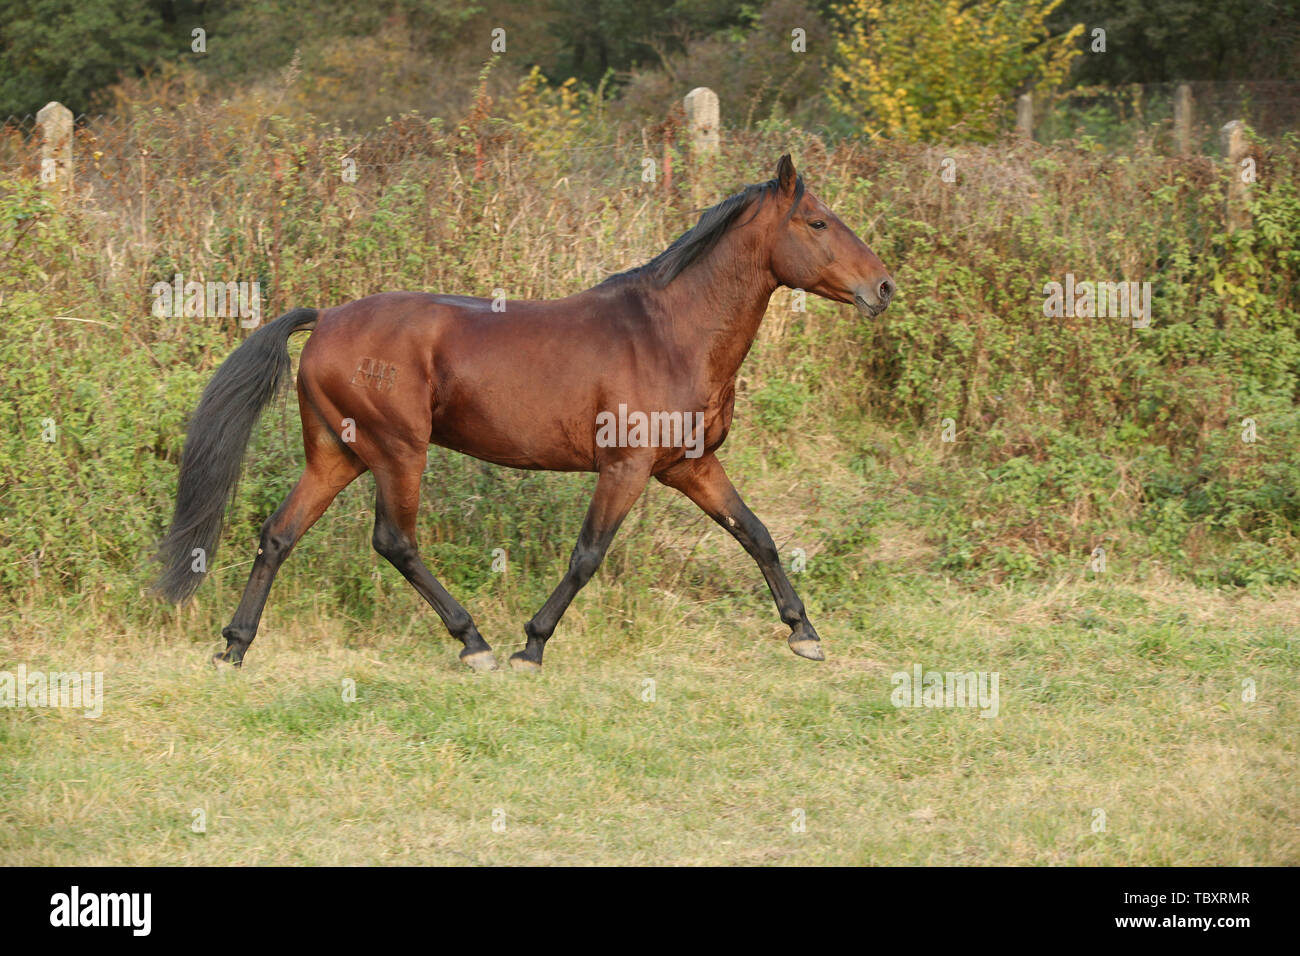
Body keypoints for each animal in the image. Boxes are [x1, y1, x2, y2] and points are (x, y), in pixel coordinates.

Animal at [155, 154, 894, 672]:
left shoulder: (691, 466)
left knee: (279, 535)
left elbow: (757, 535)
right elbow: (587, 555)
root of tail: (327, 319)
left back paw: (235, 645)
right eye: (817, 222)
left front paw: (805, 634)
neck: (671, 332)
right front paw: (530, 646)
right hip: (397, 452)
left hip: (337, 455)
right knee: (394, 541)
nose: (884, 287)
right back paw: (473, 641)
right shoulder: (625, 468)